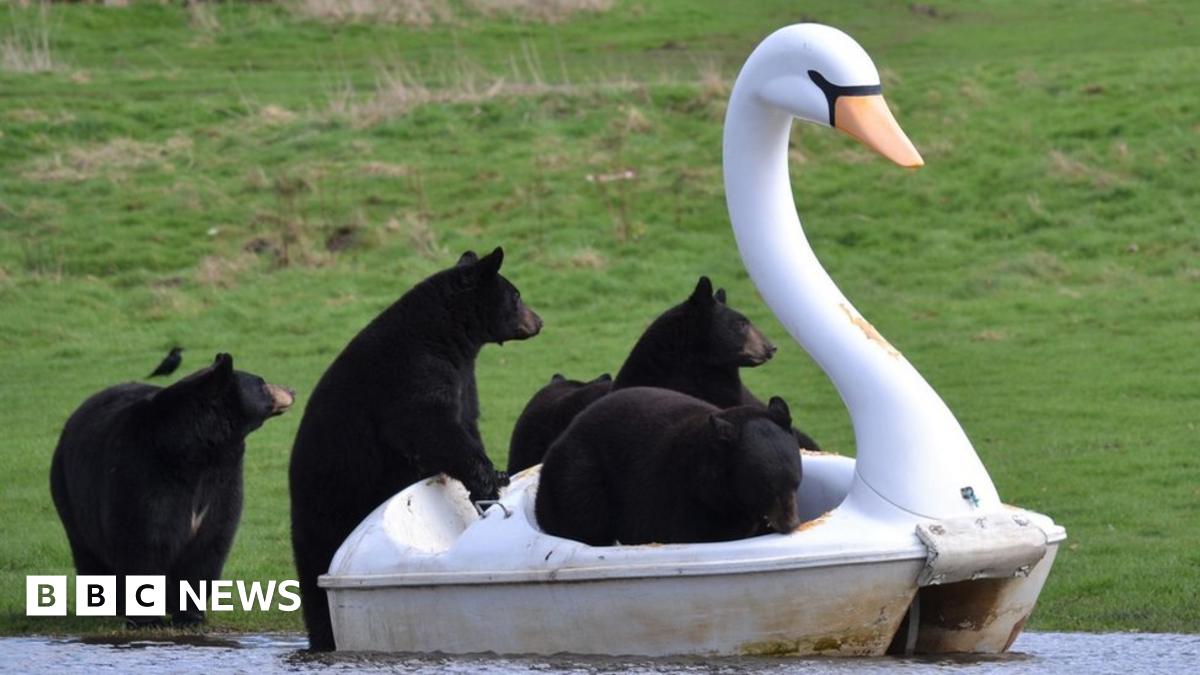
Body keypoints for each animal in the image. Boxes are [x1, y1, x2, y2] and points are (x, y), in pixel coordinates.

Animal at [49, 353, 294, 627]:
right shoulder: (143, 474)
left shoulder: (223, 482)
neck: (198, 449)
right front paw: (147, 619)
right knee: (87, 551)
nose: (291, 390)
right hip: (68, 491)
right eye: (261, 383)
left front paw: (191, 616)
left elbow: (210, 543)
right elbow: (144, 541)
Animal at [289, 247, 542, 651]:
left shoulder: (463, 379)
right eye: (516, 295)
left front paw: (497, 473)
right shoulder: (411, 373)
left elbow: (466, 421)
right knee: (316, 578)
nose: (538, 321)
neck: (447, 336)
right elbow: (429, 427)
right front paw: (487, 482)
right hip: (329, 505)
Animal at [535, 387, 802, 546]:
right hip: (577, 475)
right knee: (584, 515)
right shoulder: (680, 499)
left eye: (796, 483)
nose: (791, 525)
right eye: (767, 488)